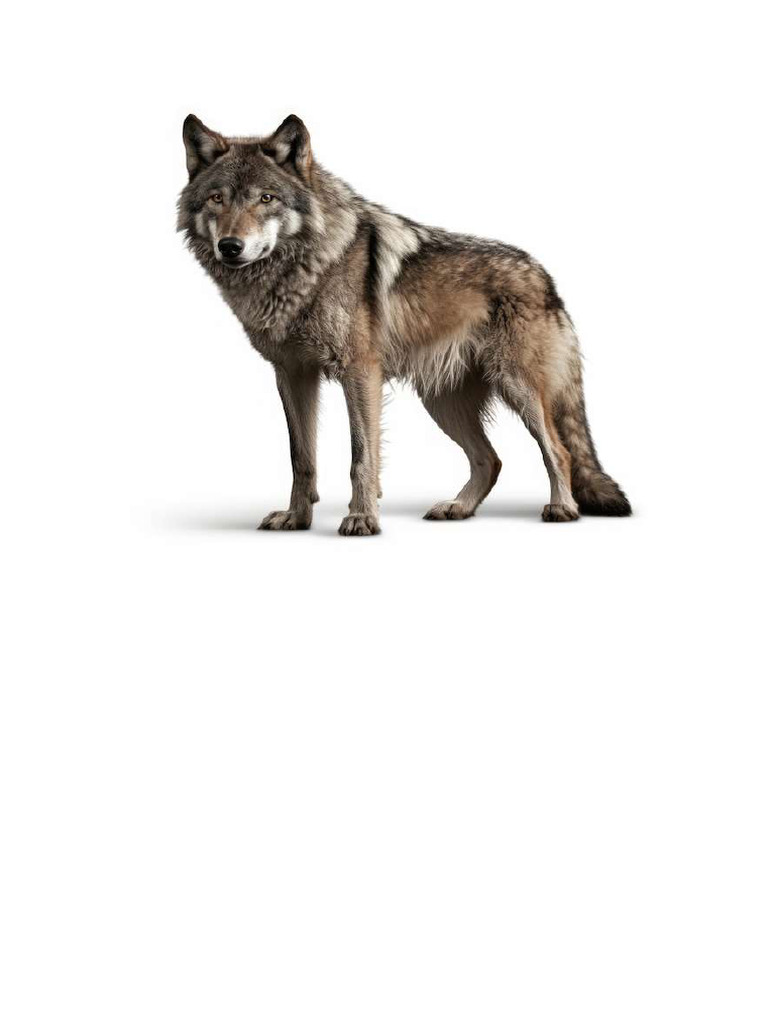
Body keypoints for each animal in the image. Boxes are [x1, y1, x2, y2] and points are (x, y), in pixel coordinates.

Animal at [178, 114, 631, 535]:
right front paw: (296, 518)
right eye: (217, 199)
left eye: (266, 198)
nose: (230, 247)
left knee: (559, 451)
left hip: (517, 388)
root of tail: (544, 276)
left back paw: (562, 508)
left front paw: (362, 518)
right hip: (442, 403)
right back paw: (457, 508)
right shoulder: (292, 374)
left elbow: (361, 457)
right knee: (491, 460)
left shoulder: (359, 372)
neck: (303, 269)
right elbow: (300, 458)